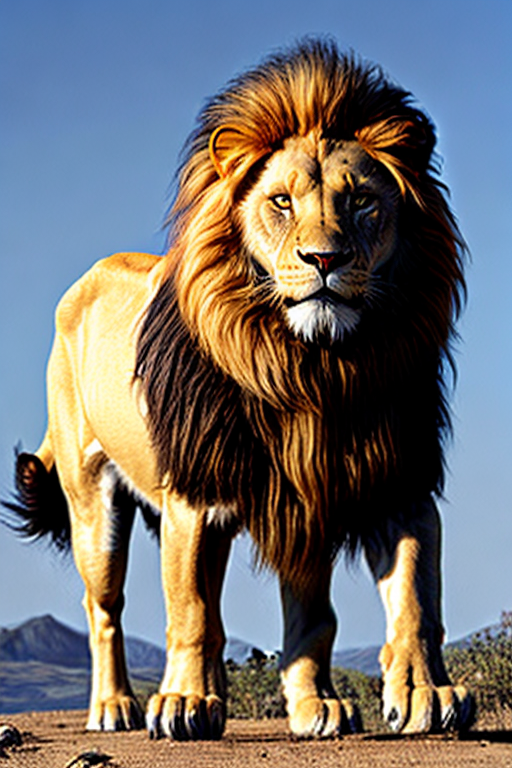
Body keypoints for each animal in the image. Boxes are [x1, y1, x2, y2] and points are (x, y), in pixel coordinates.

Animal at [4, 39, 474, 739]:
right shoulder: (196, 495)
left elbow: (406, 598)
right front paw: (184, 704)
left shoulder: (385, 479)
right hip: (93, 506)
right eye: (280, 202)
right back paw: (117, 706)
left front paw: (417, 695)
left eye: (363, 201)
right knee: (104, 608)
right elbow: (192, 609)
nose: (325, 260)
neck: (314, 368)